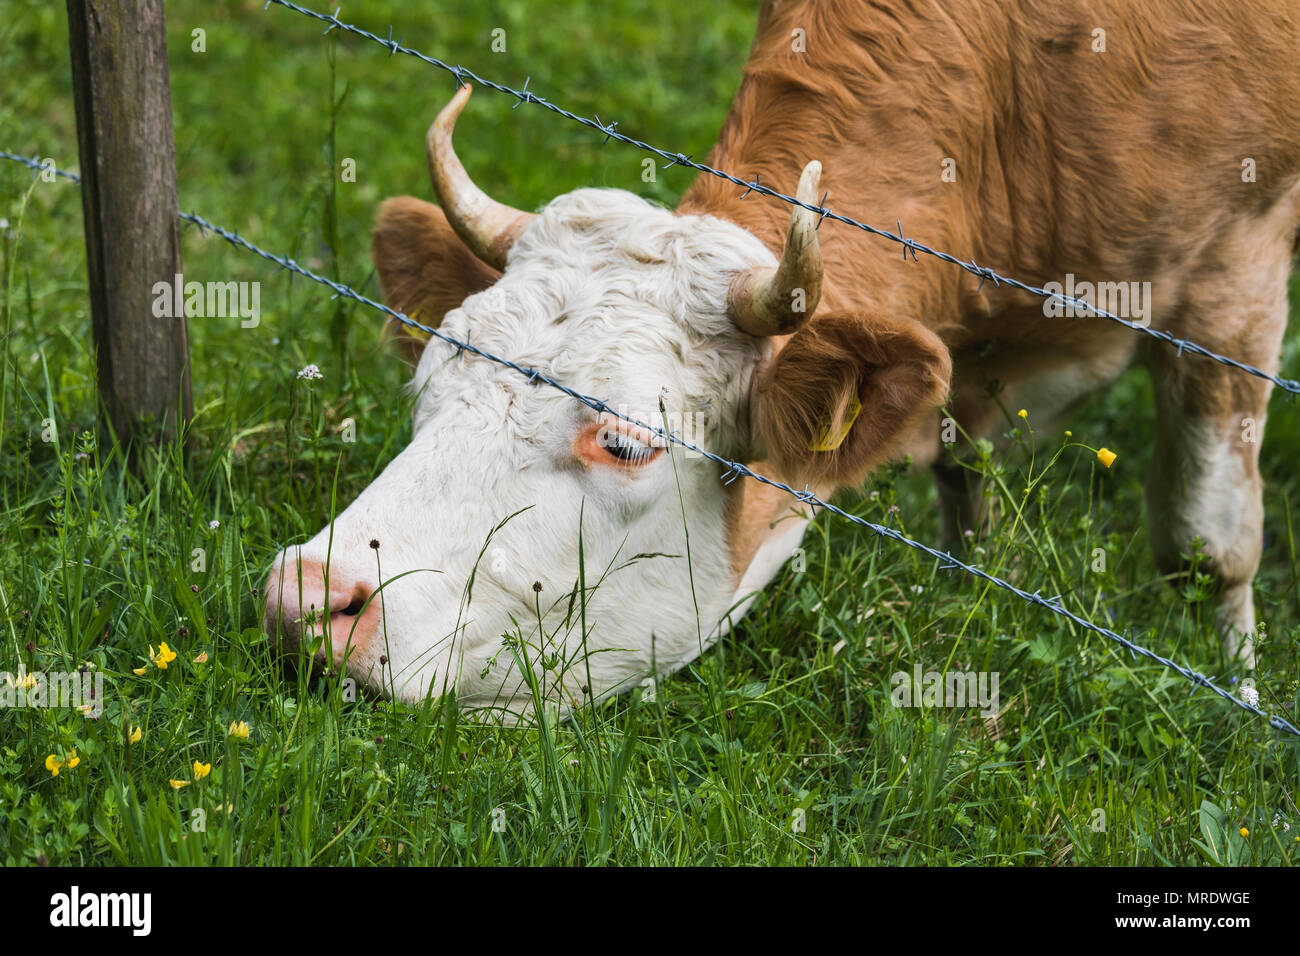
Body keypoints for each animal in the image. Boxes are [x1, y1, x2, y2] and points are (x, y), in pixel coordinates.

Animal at [264, 0, 1300, 714]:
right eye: (430, 381)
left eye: (625, 442)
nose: (306, 596)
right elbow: (964, 475)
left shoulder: (1239, 262)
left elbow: (1210, 547)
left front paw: (1238, 692)